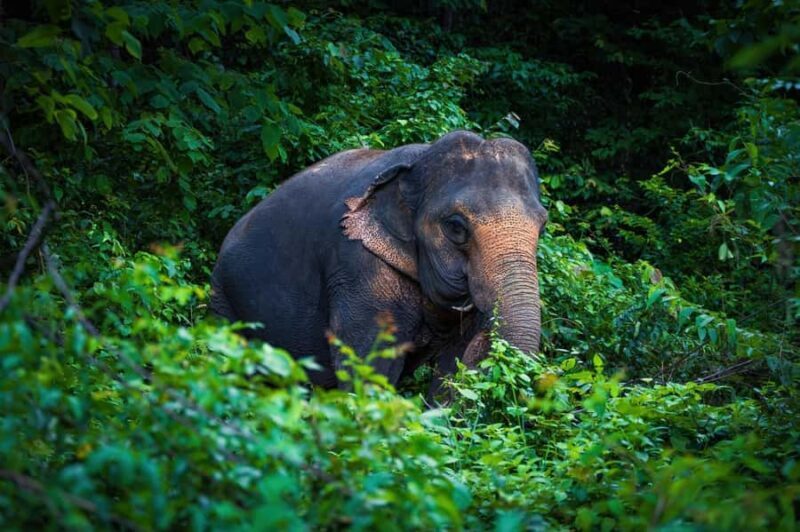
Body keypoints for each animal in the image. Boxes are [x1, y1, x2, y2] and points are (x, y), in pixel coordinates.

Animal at [210, 130, 548, 390]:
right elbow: (370, 364)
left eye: (542, 225)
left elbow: (452, 366)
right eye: (455, 227)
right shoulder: (357, 265)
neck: (416, 165)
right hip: (224, 298)